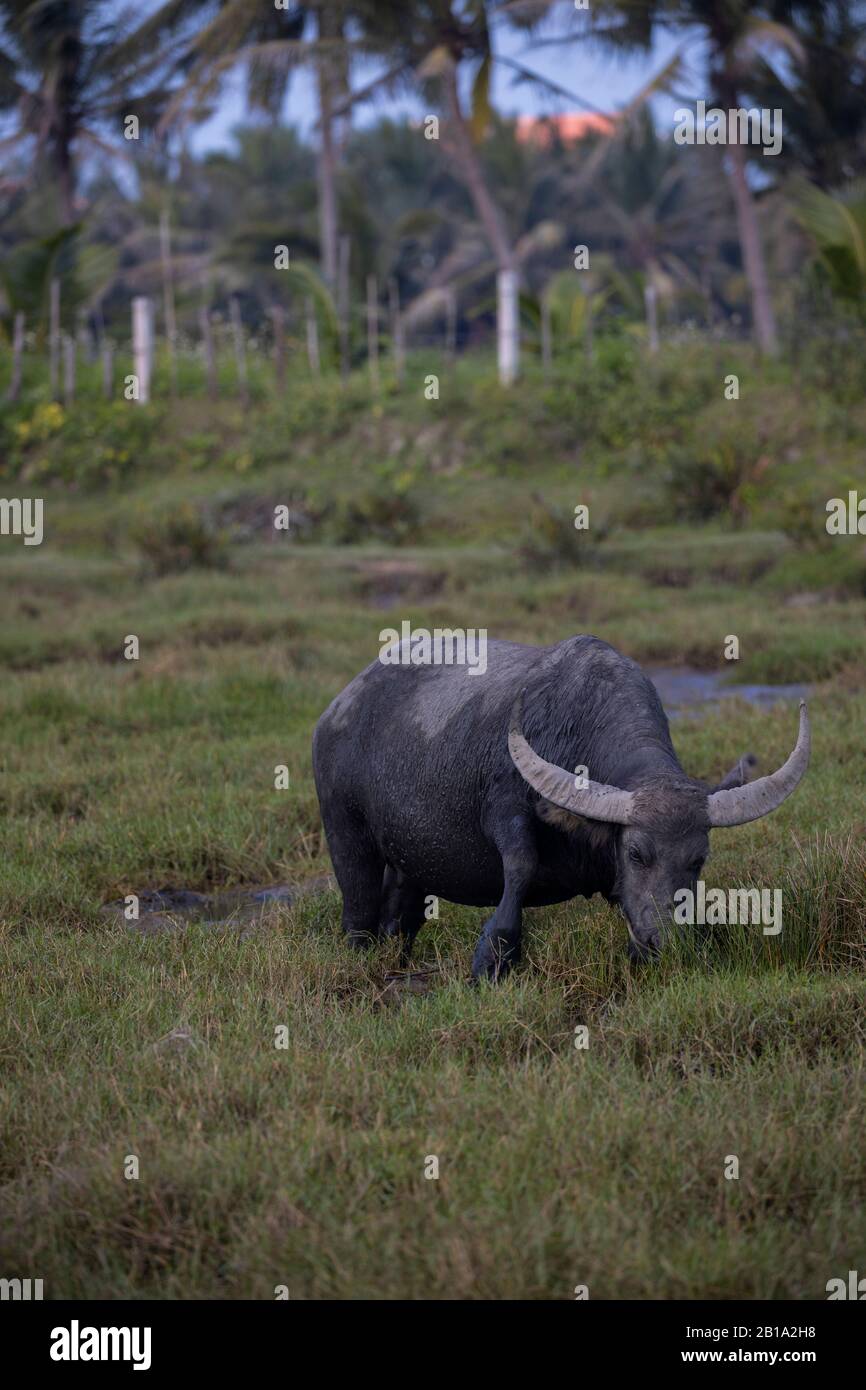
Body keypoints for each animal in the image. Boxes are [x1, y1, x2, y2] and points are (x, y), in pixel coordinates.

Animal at [312, 634, 809, 980]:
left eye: (698, 859)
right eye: (636, 853)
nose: (664, 943)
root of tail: (340, 705)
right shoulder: (506, 811)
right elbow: (521, 867)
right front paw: (493, 959)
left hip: (409, 864)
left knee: (400, 918)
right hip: (346, 835)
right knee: (357, 915)